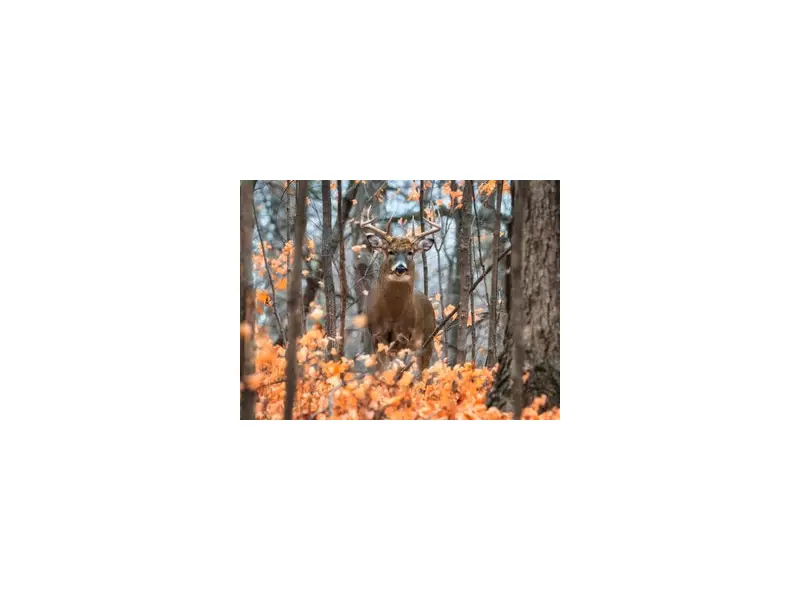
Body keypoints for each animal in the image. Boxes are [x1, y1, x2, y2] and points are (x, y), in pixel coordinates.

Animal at [359, 206, 441, 372]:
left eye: (410, 252)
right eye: (390, 251)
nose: (401, 268)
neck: (392, 314)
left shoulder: (404, 335)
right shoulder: (376, 335)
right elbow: (382, 369)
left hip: (427, 339)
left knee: (423, 370)